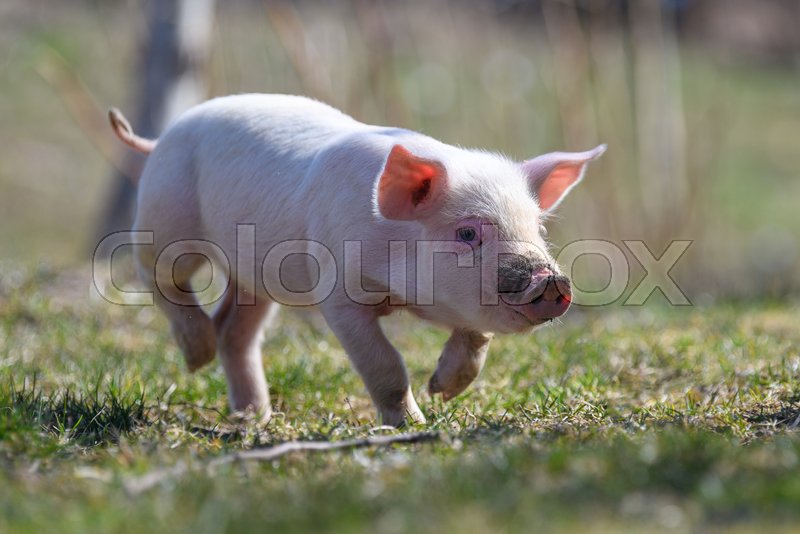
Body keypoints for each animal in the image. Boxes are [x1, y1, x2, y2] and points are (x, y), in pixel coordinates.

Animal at [108, 94, 605, 427]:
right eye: (466, 233)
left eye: (538, 229)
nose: (551, 281)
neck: (401, 295)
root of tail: (160, 139)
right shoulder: (337, 292)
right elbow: (385, 365)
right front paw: (413, 425)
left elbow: (476, 340)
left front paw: (442, 391)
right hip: (166, 219)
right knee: (156, 274)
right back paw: (198, 356)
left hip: (256, 275)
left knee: (235, 330)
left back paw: (255, 417)